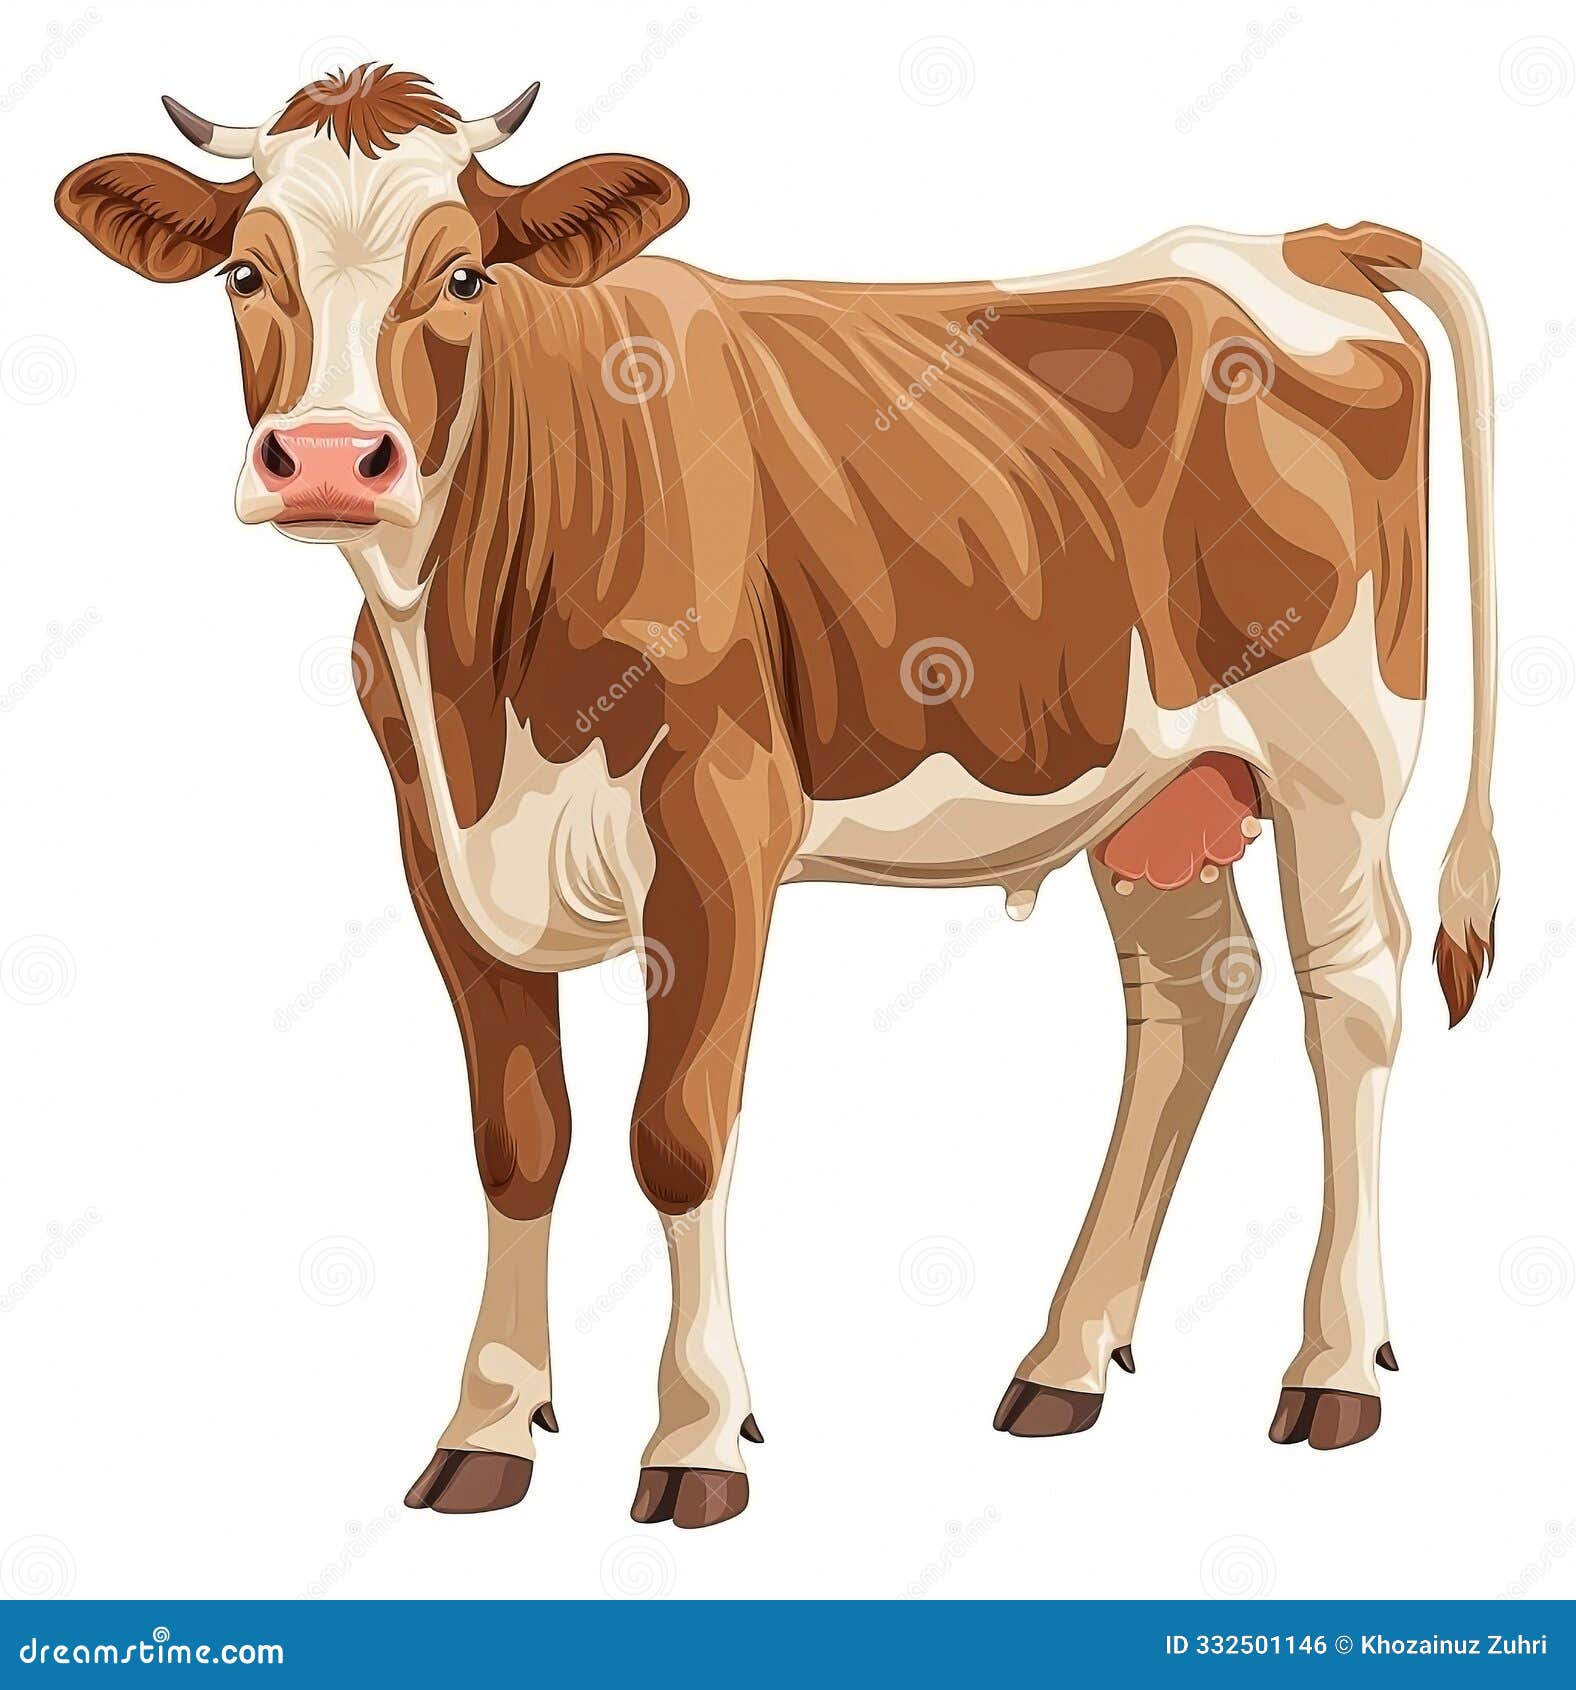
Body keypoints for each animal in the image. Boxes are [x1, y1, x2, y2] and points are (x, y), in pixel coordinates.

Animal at [57, 64, 1500, 1528]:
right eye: (245, 270)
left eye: (462, 274)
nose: (332, 458)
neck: (472, 670)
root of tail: (1301, 242)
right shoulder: (436, 846)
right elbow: (517, 1139)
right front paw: (488, 1429)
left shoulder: (718, 823)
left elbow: (678, 1136)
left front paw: (696, 1438)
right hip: (1151, 778)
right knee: (1193, 992)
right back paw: (1066, 1360)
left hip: (1338, 750)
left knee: (1350, 998)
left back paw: (1334, 1369)